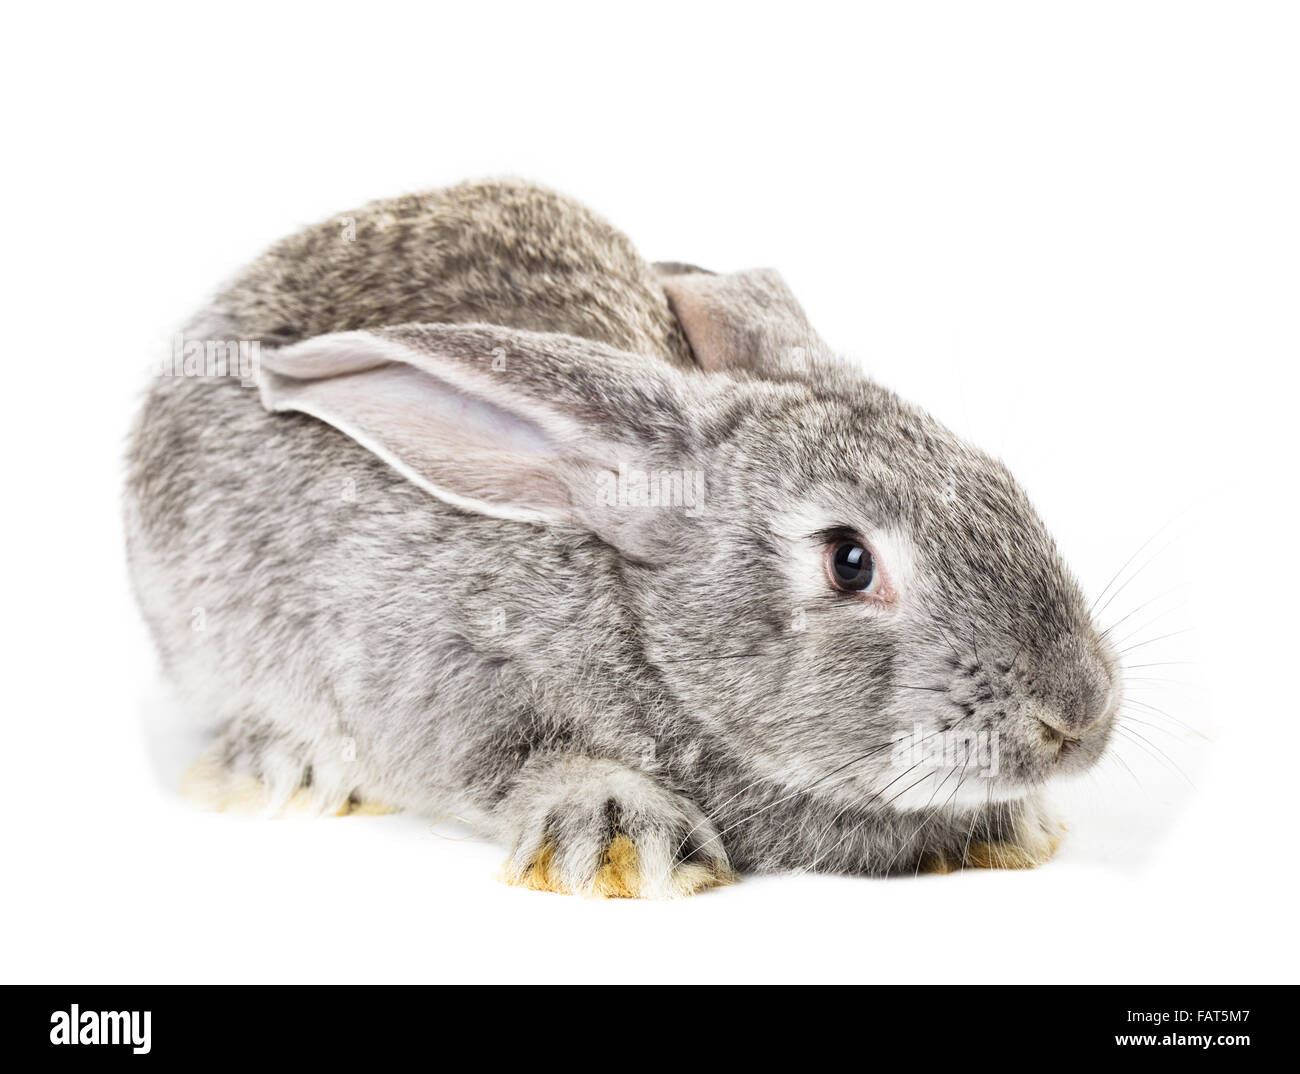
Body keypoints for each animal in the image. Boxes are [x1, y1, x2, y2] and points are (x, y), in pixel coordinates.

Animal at [125, 179, 1120, 898]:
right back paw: (282, 771)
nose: (1078, 718)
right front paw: (618, 844)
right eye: (849, 560)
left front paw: (1013, 831)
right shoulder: (447, 679)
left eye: (1000, 483)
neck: (645, 628)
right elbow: (531, 762)